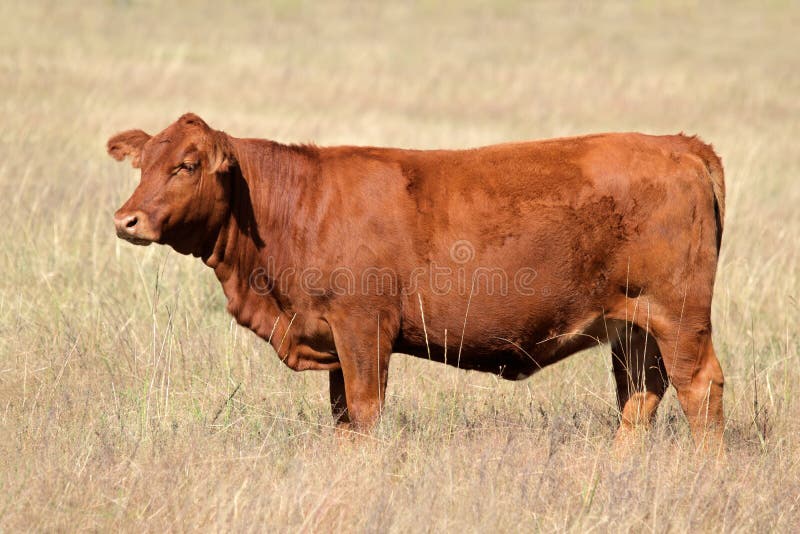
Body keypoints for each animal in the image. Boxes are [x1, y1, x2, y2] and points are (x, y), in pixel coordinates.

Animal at [108, 113, 725, 449]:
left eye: (187, 164)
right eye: (143, 164)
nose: (126, 220)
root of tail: (678, 144)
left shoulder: (362, 328)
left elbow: (364, 412)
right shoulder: (335, 340)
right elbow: (343, 420)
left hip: (680, 316)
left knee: (700, 388)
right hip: (635, 326)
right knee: (641, 395)